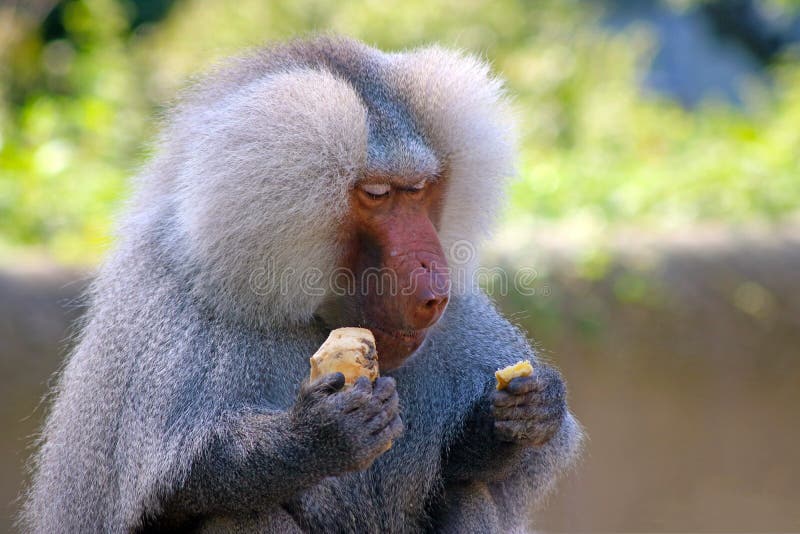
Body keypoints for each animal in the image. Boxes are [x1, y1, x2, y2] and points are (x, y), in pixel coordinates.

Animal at [21, 36, 582, 533]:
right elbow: (172, 492)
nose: (434, 286)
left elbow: (476, 471)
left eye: (419, 190)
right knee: (237, 513)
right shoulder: (168, 306)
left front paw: (514, 420)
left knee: (468, 493)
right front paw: (320, 435)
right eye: (377, 194)